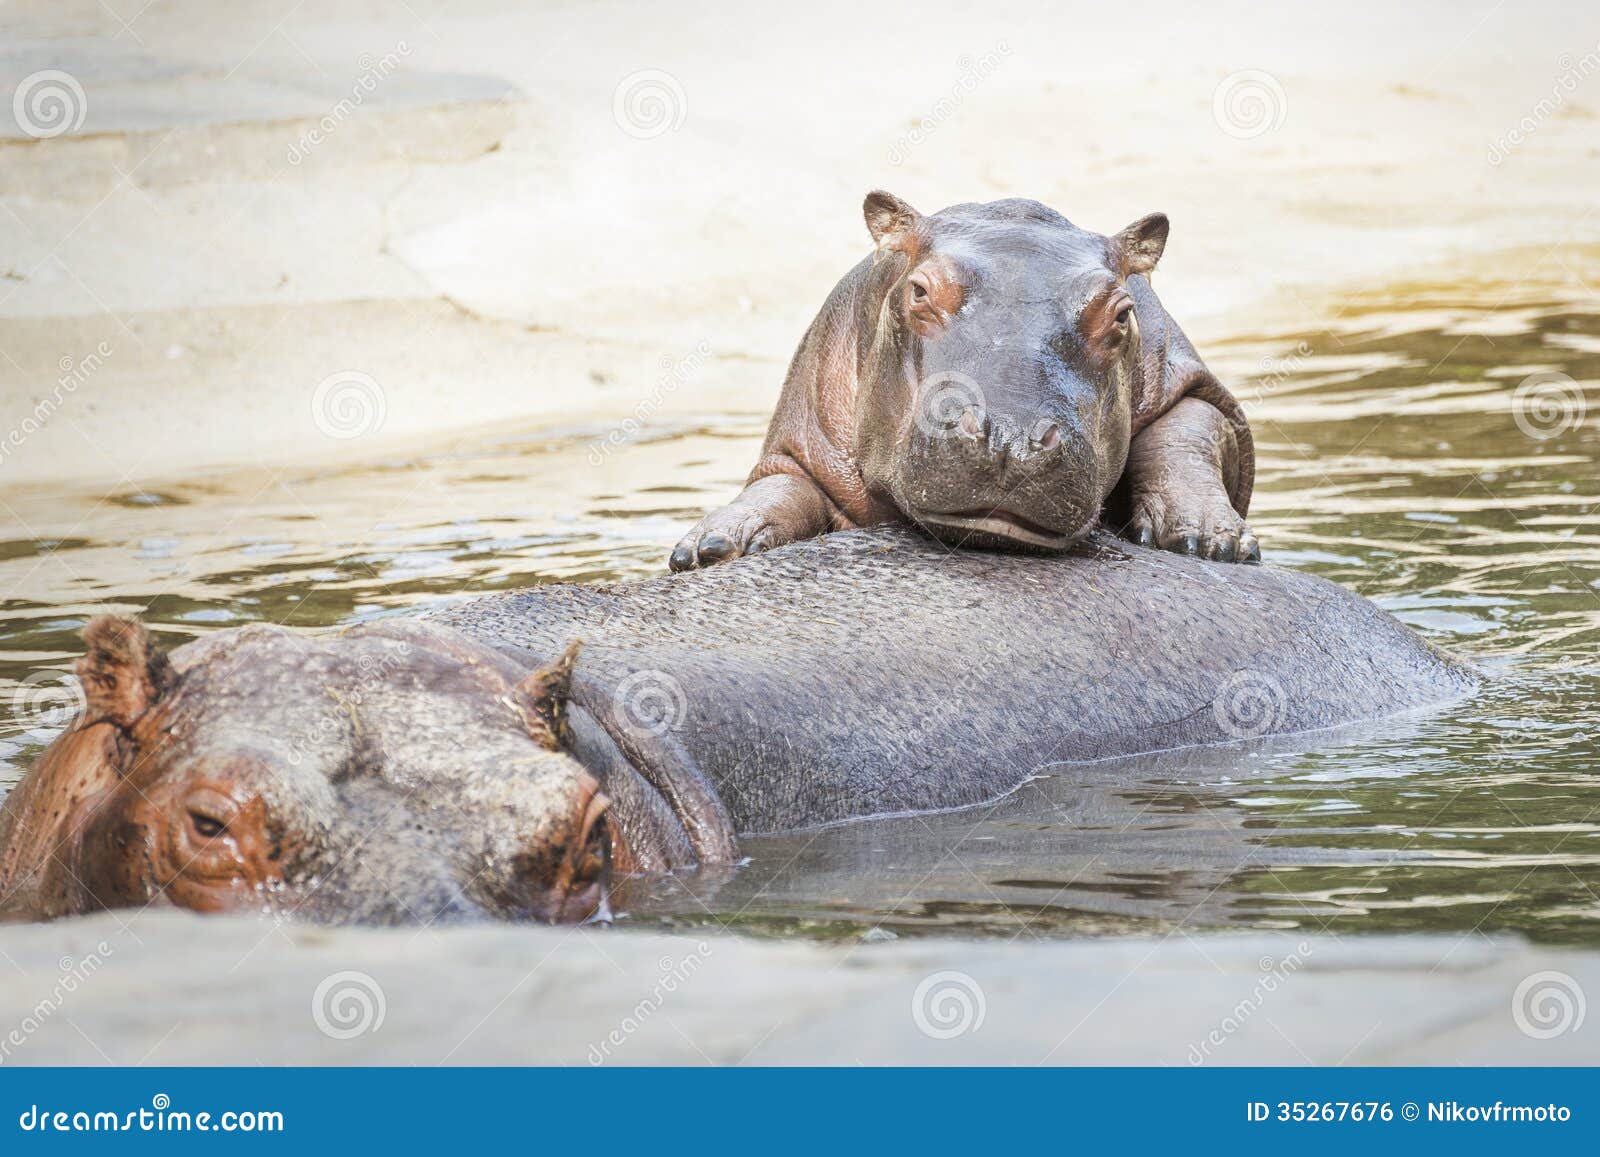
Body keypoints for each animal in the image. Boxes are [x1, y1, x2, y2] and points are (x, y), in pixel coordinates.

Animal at [671, 192, 1256, 571]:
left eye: (1121, 313)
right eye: (919, 290)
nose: (1011, 439)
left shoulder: (1181, 376)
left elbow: (1188, 430)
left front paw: (1208, 541)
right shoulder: (804, 438)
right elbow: (783, 485)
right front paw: (712, 545)